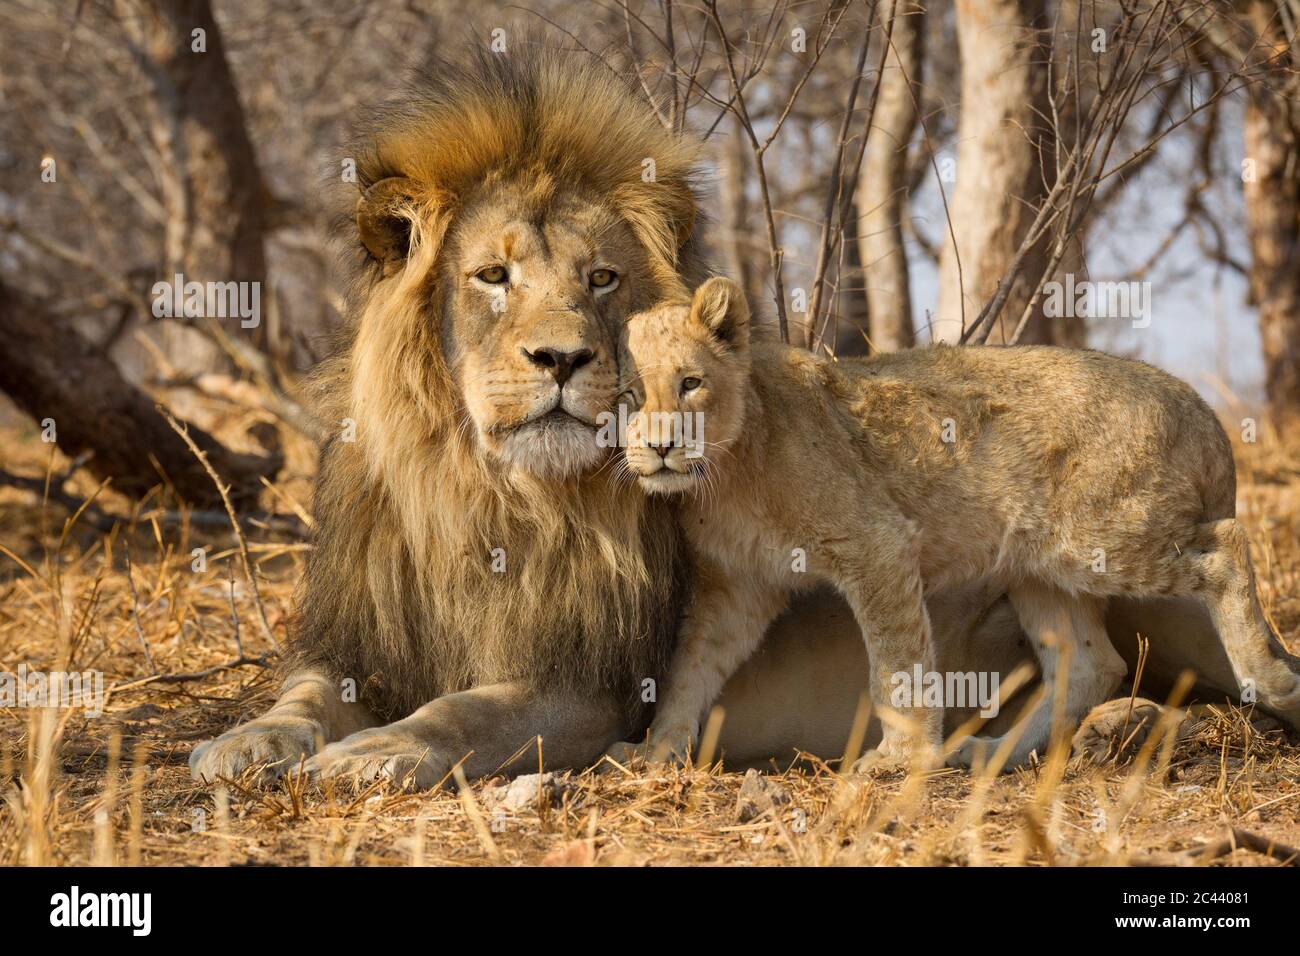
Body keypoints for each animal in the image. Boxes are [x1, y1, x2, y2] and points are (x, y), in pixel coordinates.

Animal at [607, 278, 1300, 771]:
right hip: (1041, 566)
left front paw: (899, 758)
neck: (722, 477)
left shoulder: (877, 544)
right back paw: (990, 753)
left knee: (1227, 546)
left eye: (690, 383)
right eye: (628, 397)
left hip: (1101, 535)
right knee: (1090, 664)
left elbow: (896, 662)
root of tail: (1202, 411)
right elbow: (688, 670)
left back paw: (1271, 678)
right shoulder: (736, 587)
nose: (663, 446)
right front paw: (656, 751)